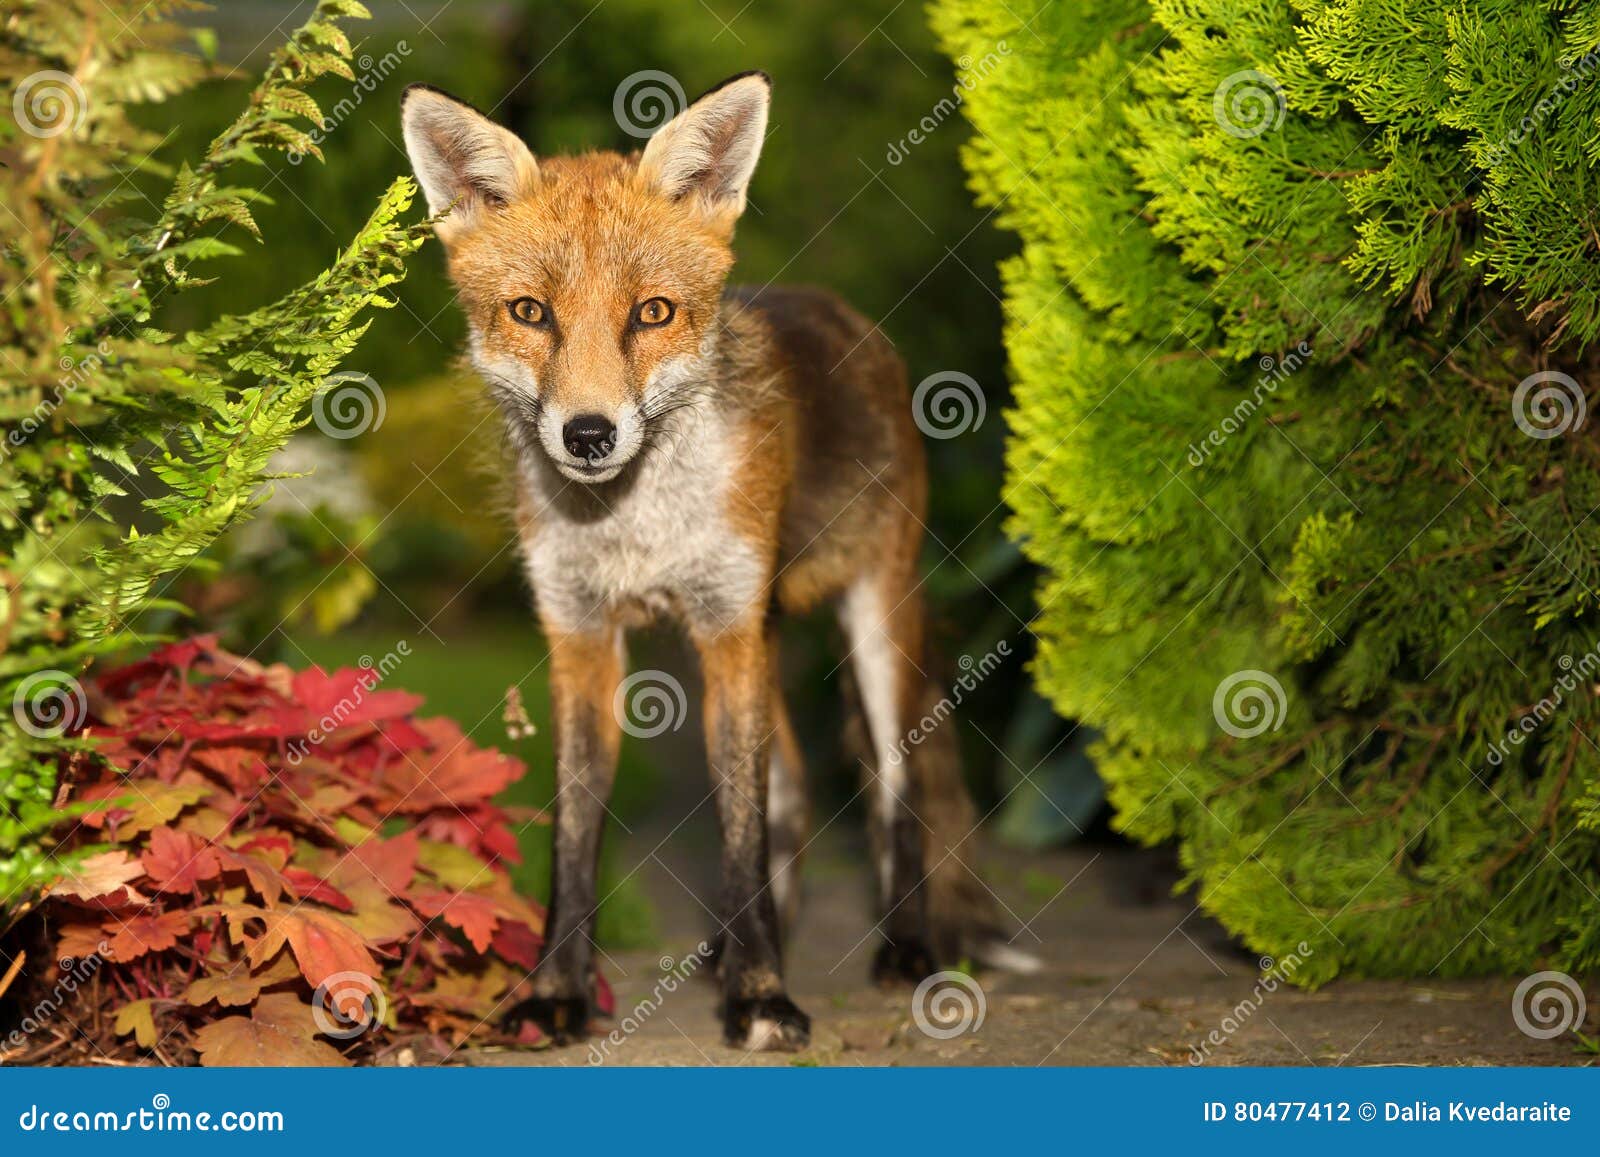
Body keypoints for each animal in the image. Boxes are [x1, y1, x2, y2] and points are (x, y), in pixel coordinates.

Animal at [400, 71, 1030, 1052]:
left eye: (652, 313)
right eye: (531, 313)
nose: (589, 435)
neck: (635, 530)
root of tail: (845, 314)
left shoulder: (731, 624)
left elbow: (739, 830)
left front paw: (762, 996)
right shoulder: (584, 636)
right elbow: (577, 833)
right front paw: (557, 993)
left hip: (872, 621)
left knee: (894, 789)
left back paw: (907, 948)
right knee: (796, 789)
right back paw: (734, 944)